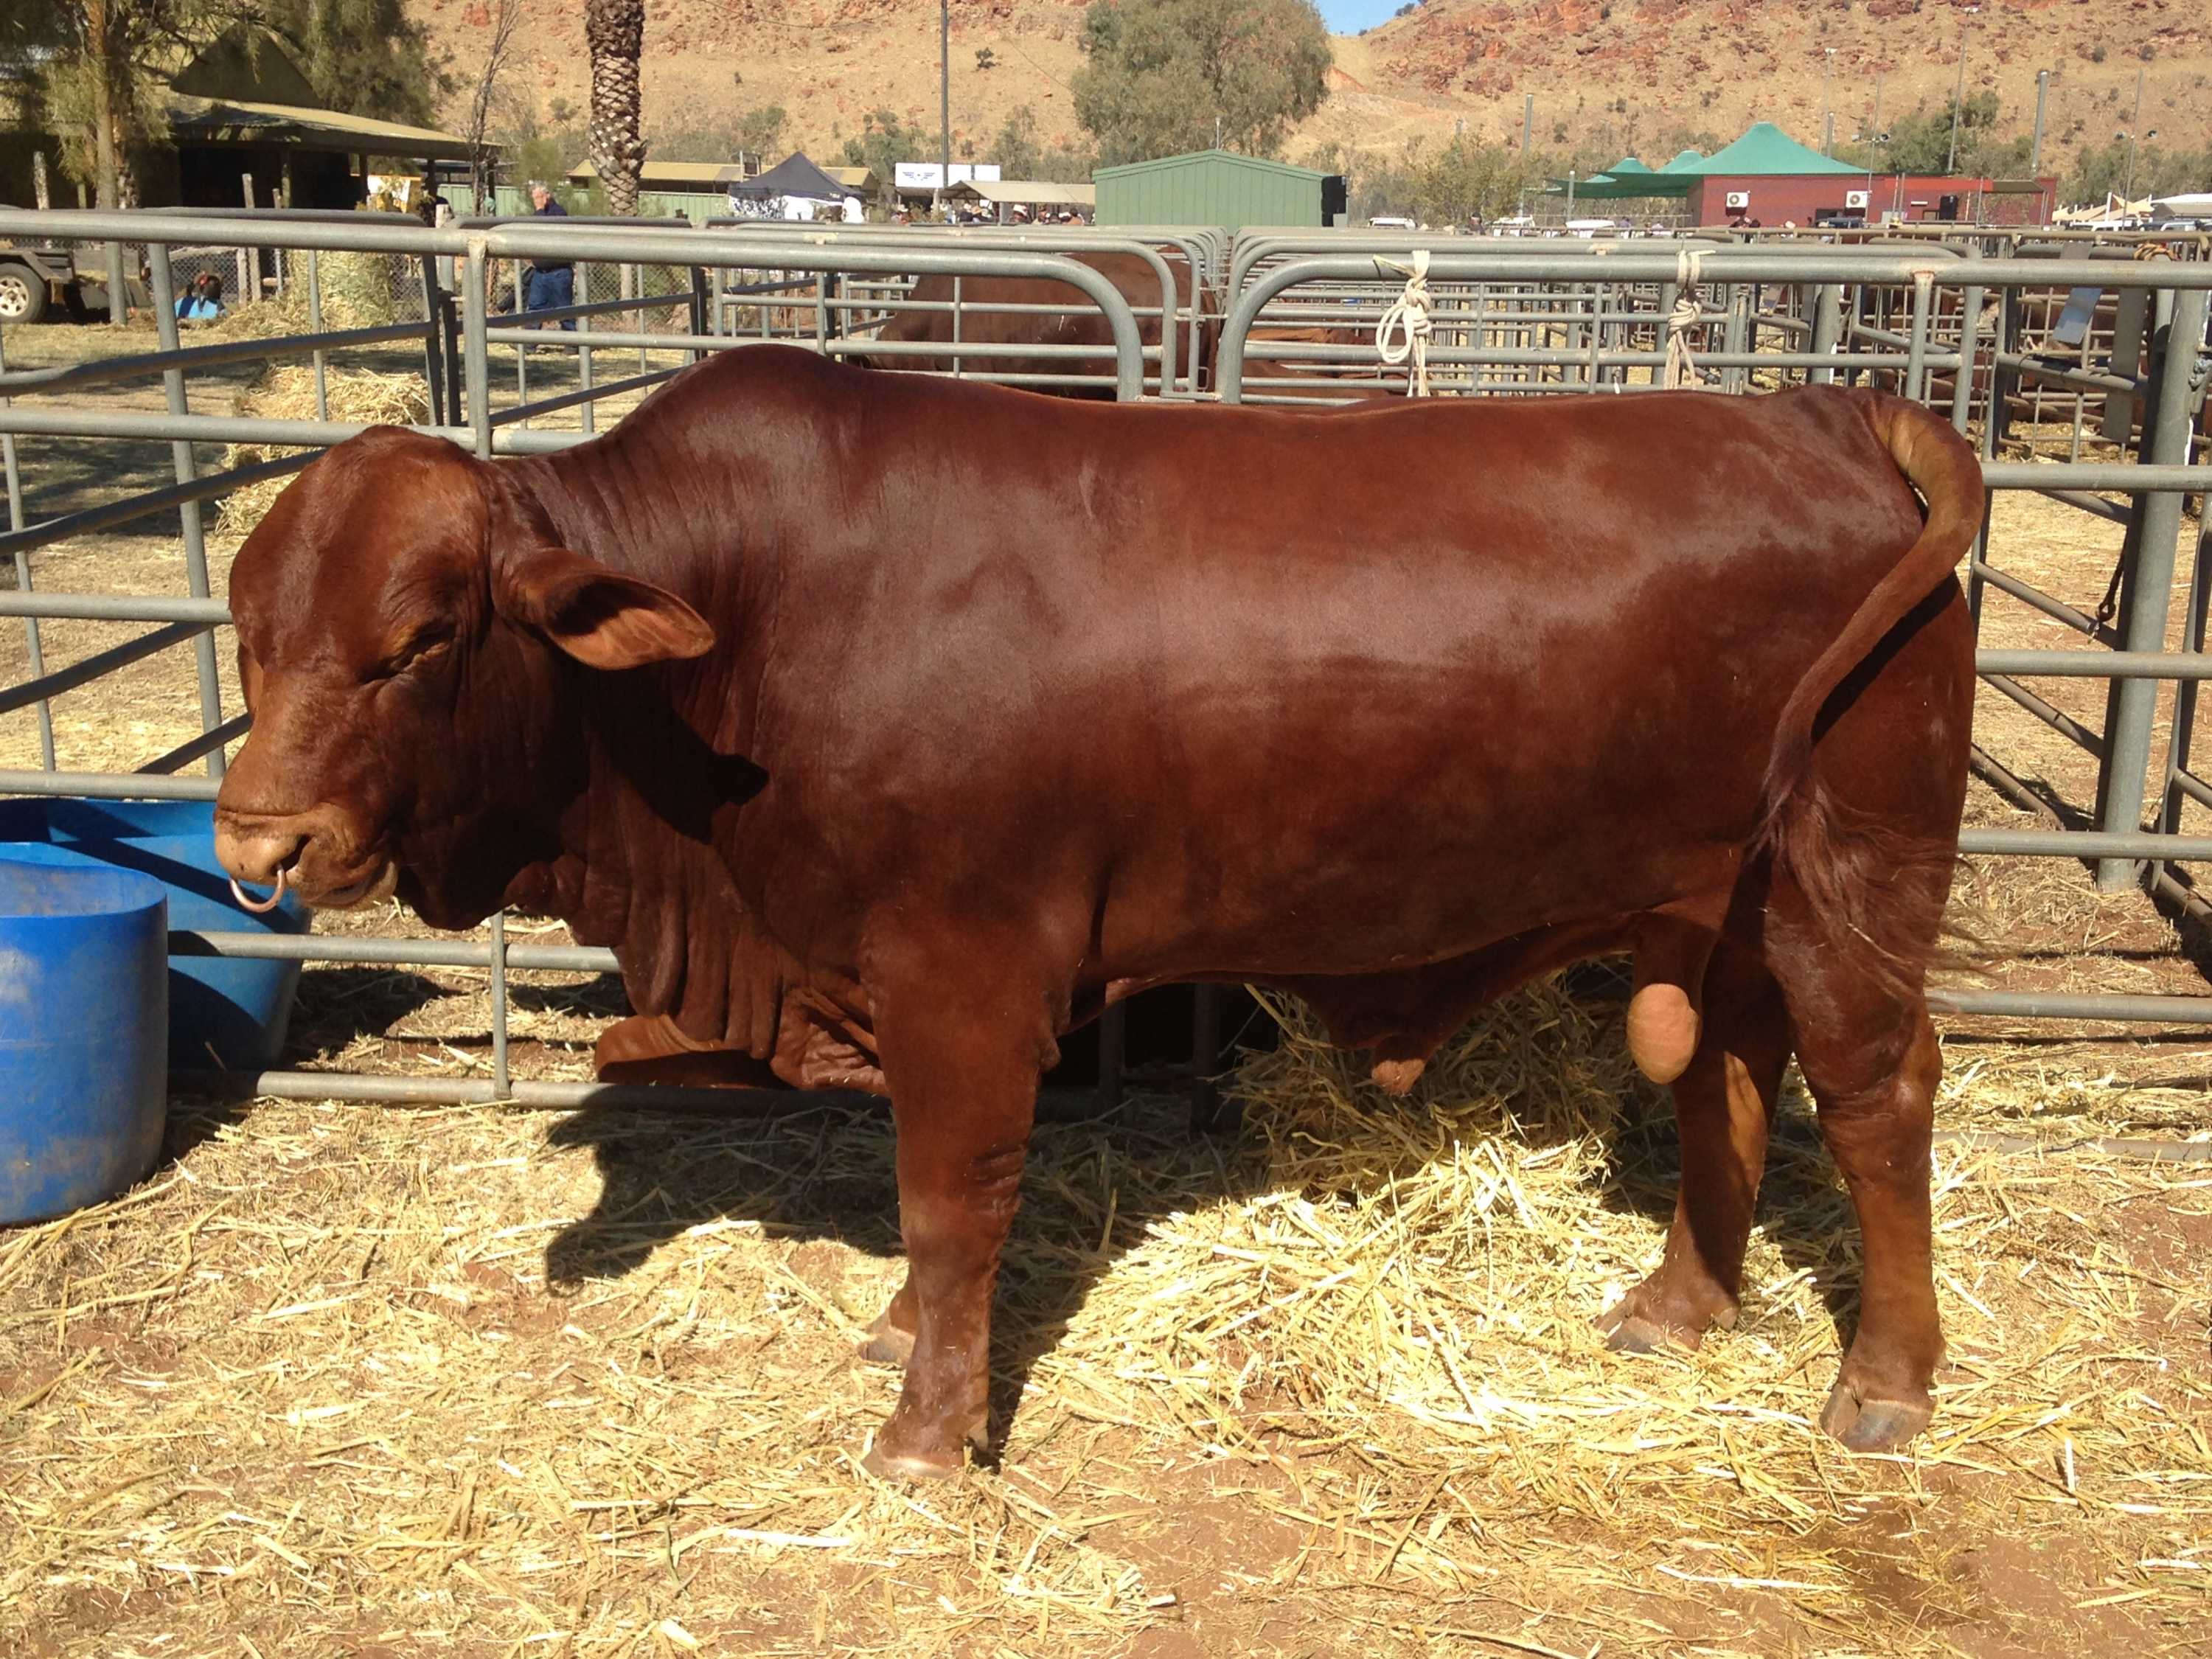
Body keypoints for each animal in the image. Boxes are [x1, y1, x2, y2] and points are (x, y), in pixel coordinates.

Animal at [213, 345, 1982, 1480]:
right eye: (249, 628)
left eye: (421, 639)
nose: (261, 836)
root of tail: (1827, 409)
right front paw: (904, 1349)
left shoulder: (967, 966)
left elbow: (950, 1201)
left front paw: (926, 1439)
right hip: (1732, 905)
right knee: (1726, 1077)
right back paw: (1682, 1309)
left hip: (1847, 886)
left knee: (1879, 1096)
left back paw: (1886, 1387)